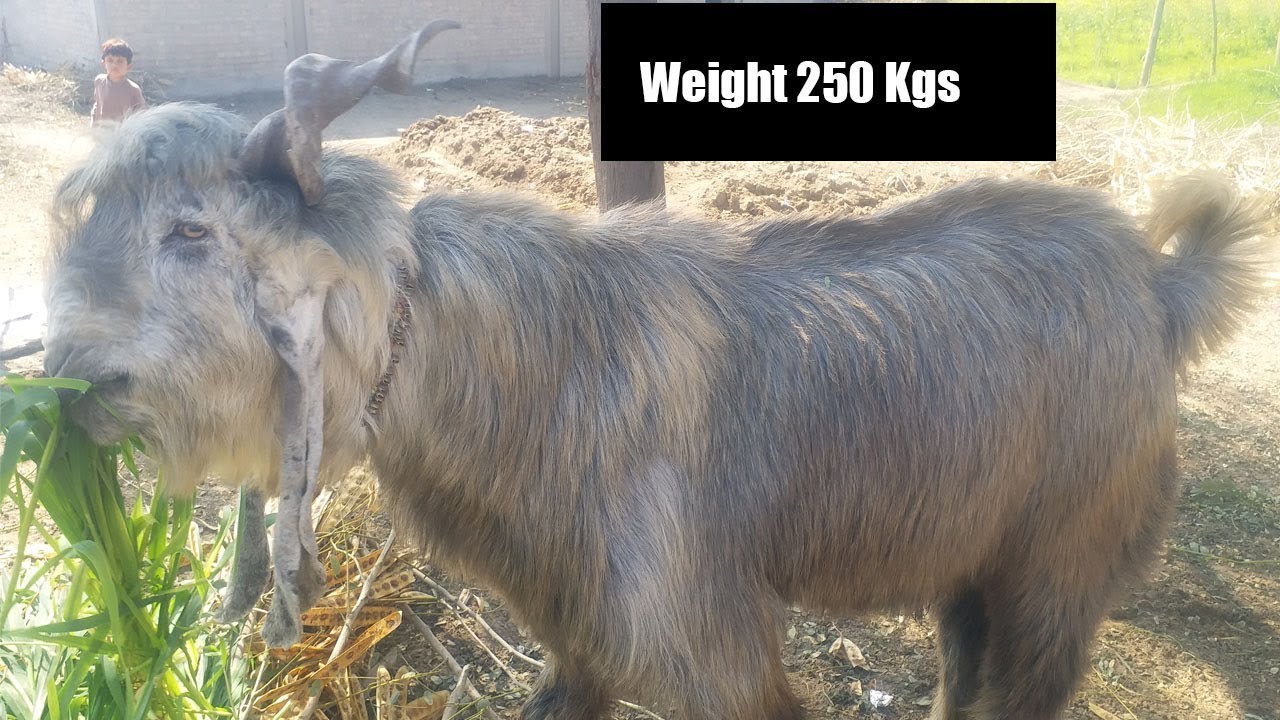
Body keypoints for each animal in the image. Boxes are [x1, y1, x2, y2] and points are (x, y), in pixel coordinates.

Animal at [42, 23, 1264, 720]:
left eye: (191, 230)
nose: (67, 380)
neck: (530, 368)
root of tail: (1157, 284)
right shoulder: (574, 637)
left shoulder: (714, 651)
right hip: (978, 557)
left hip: (1062, 566)